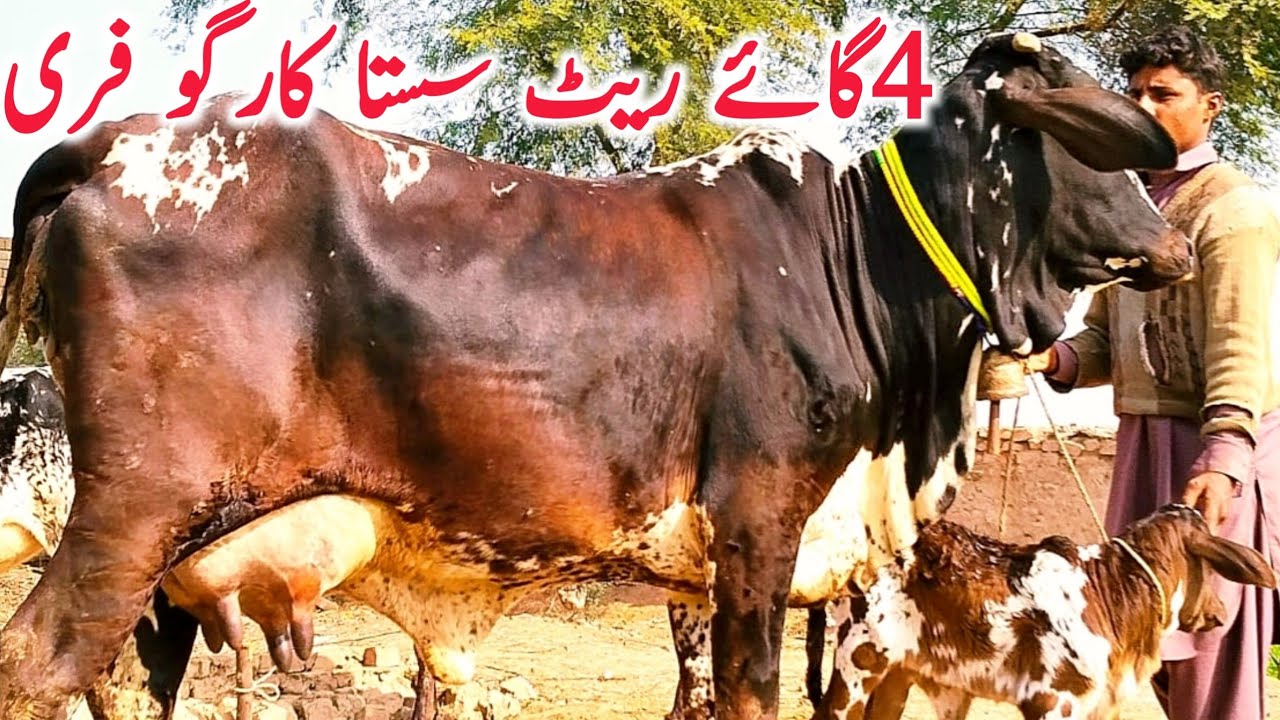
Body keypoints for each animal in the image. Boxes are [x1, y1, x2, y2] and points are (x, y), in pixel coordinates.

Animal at [0, 32, 1189, 720]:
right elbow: (746, 696)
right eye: (1079, 131)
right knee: (39, 663)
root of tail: (112, 142)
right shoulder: (758, 530)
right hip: (131, 515)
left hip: (172, 568)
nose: (1174, 242)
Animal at [802, 507, 1277, 720]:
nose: (1219, 613)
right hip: (859, 664)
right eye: (1211, 570)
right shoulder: (1053, 701)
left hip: (897, 676)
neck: (1113, 592)